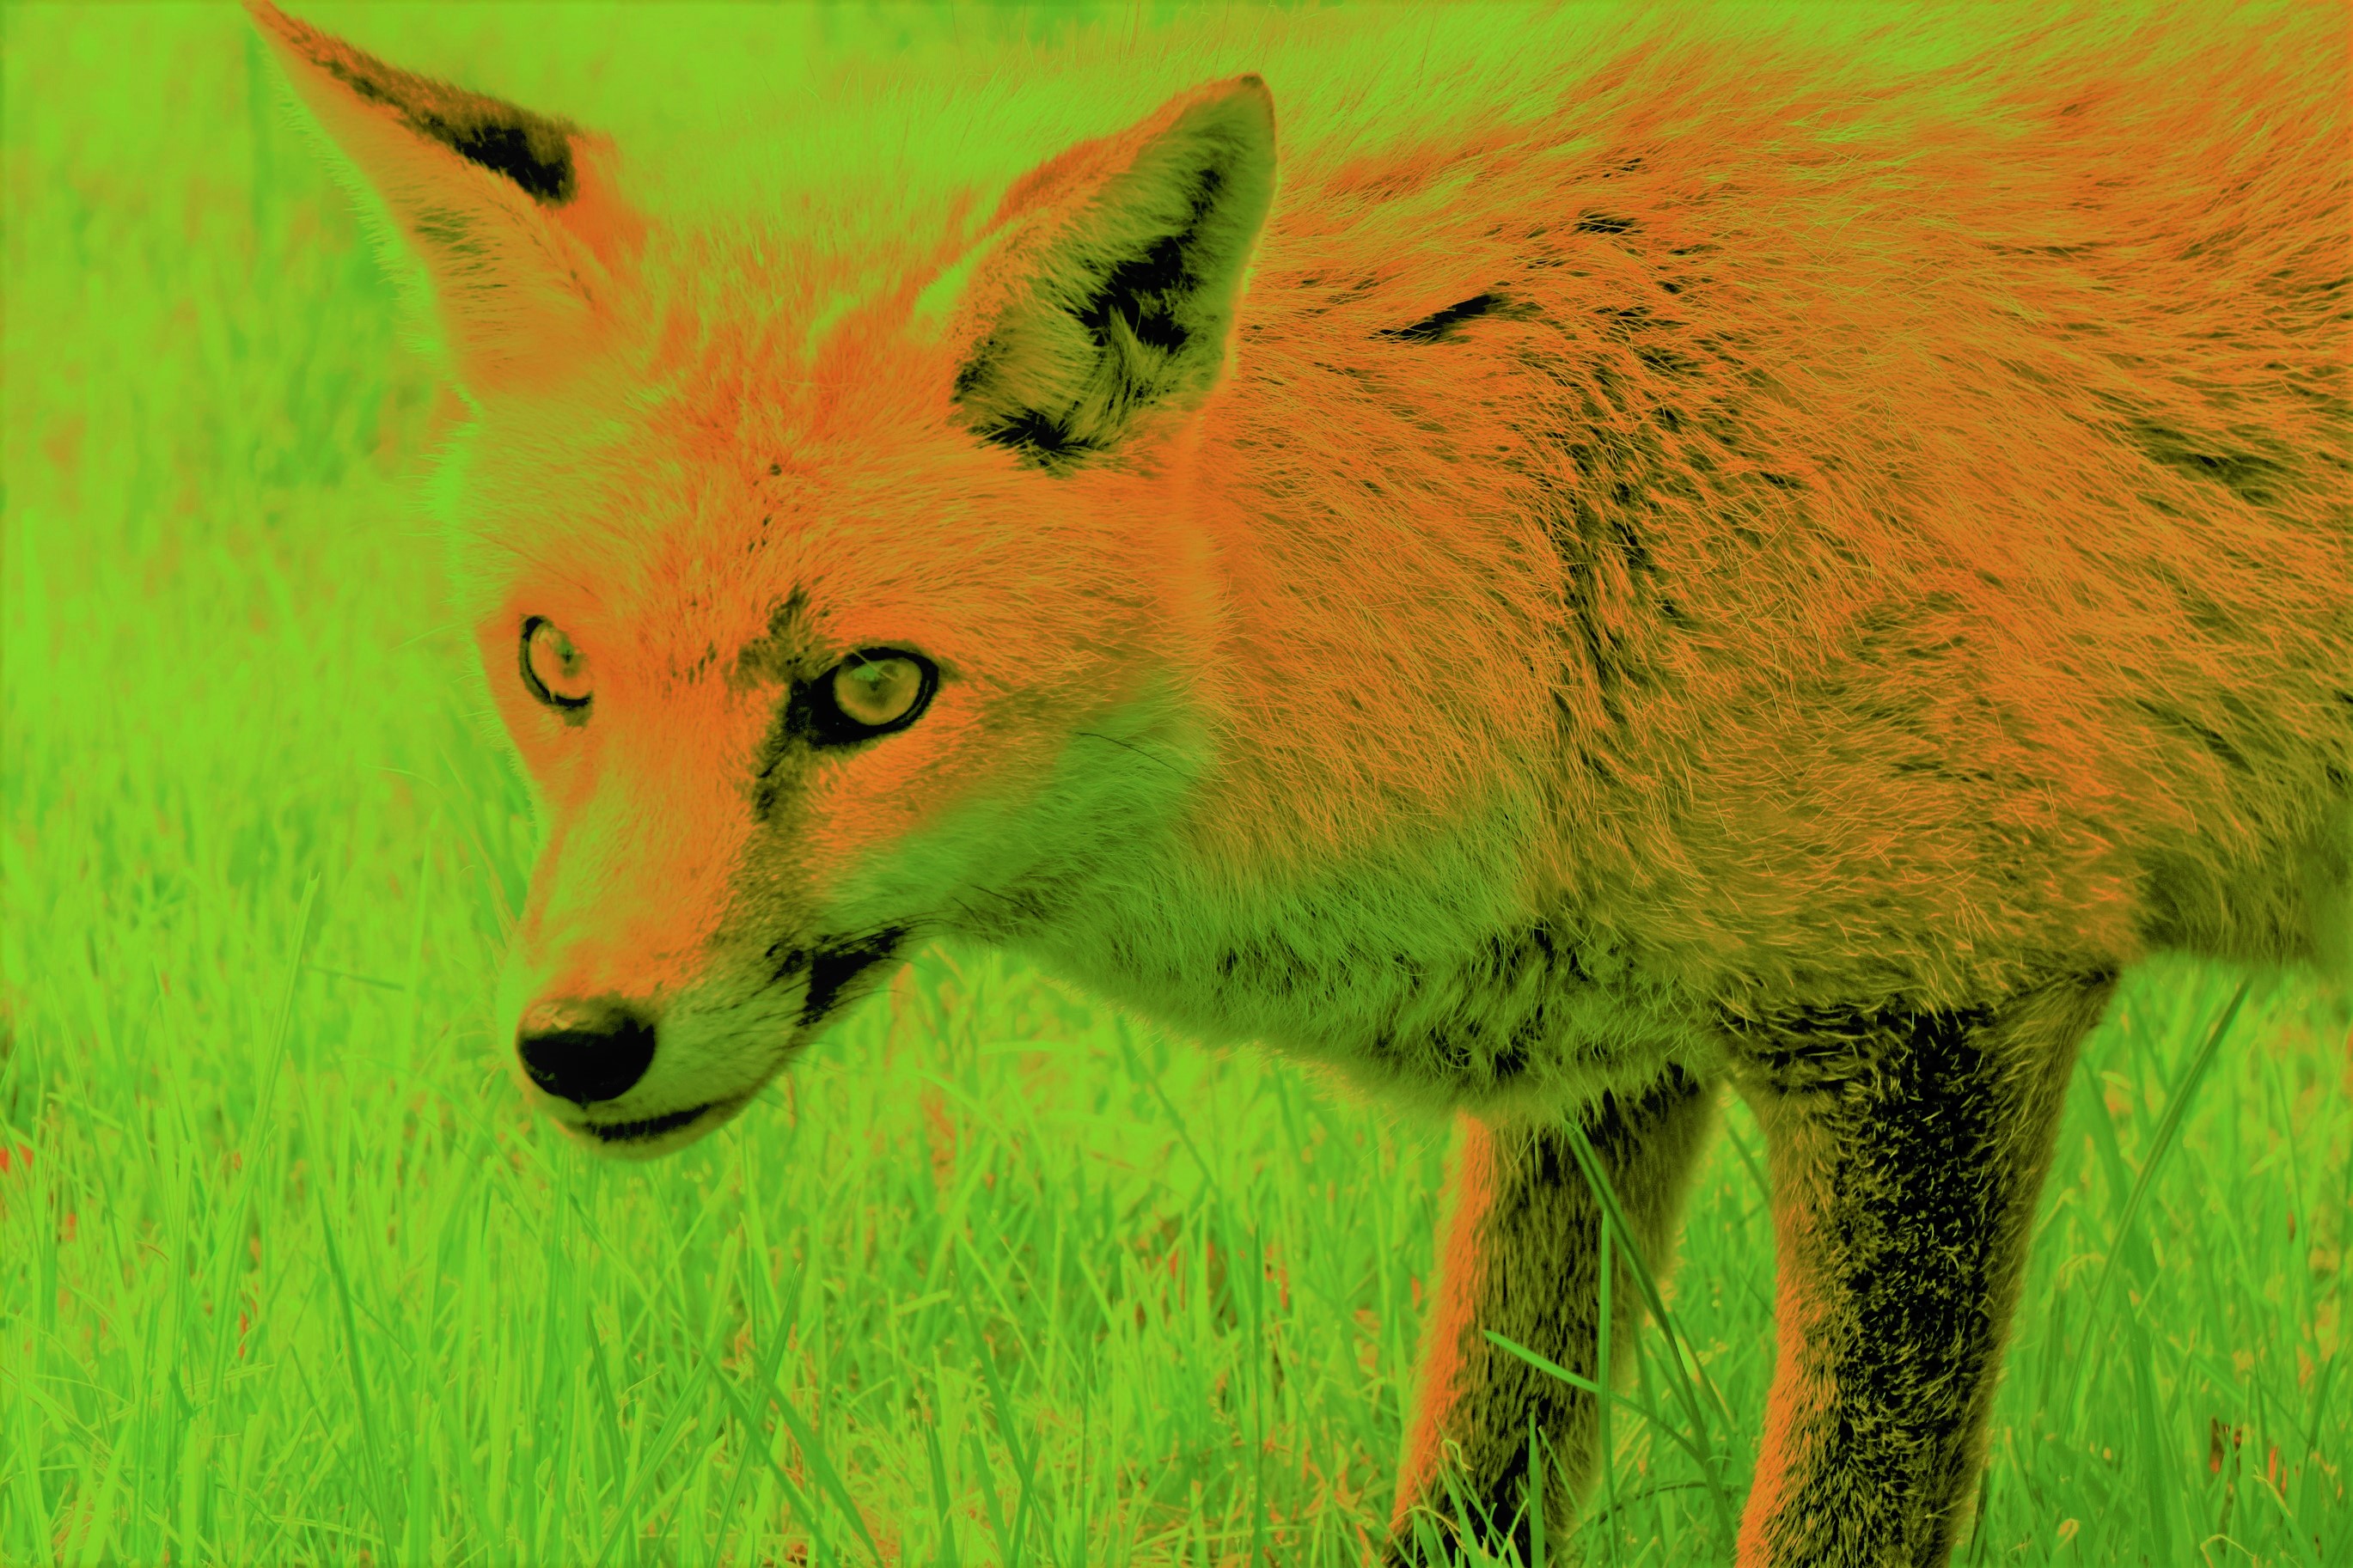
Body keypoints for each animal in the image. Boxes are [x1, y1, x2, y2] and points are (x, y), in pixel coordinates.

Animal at [250, 1, 2350, 1562]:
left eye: (869, 694)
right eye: (554, 669)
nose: (576, 1047)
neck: (1540, 527)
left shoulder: (1938, 1004)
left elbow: (1829, 1514)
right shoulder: (1606, 1055)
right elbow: (1476, 1475)